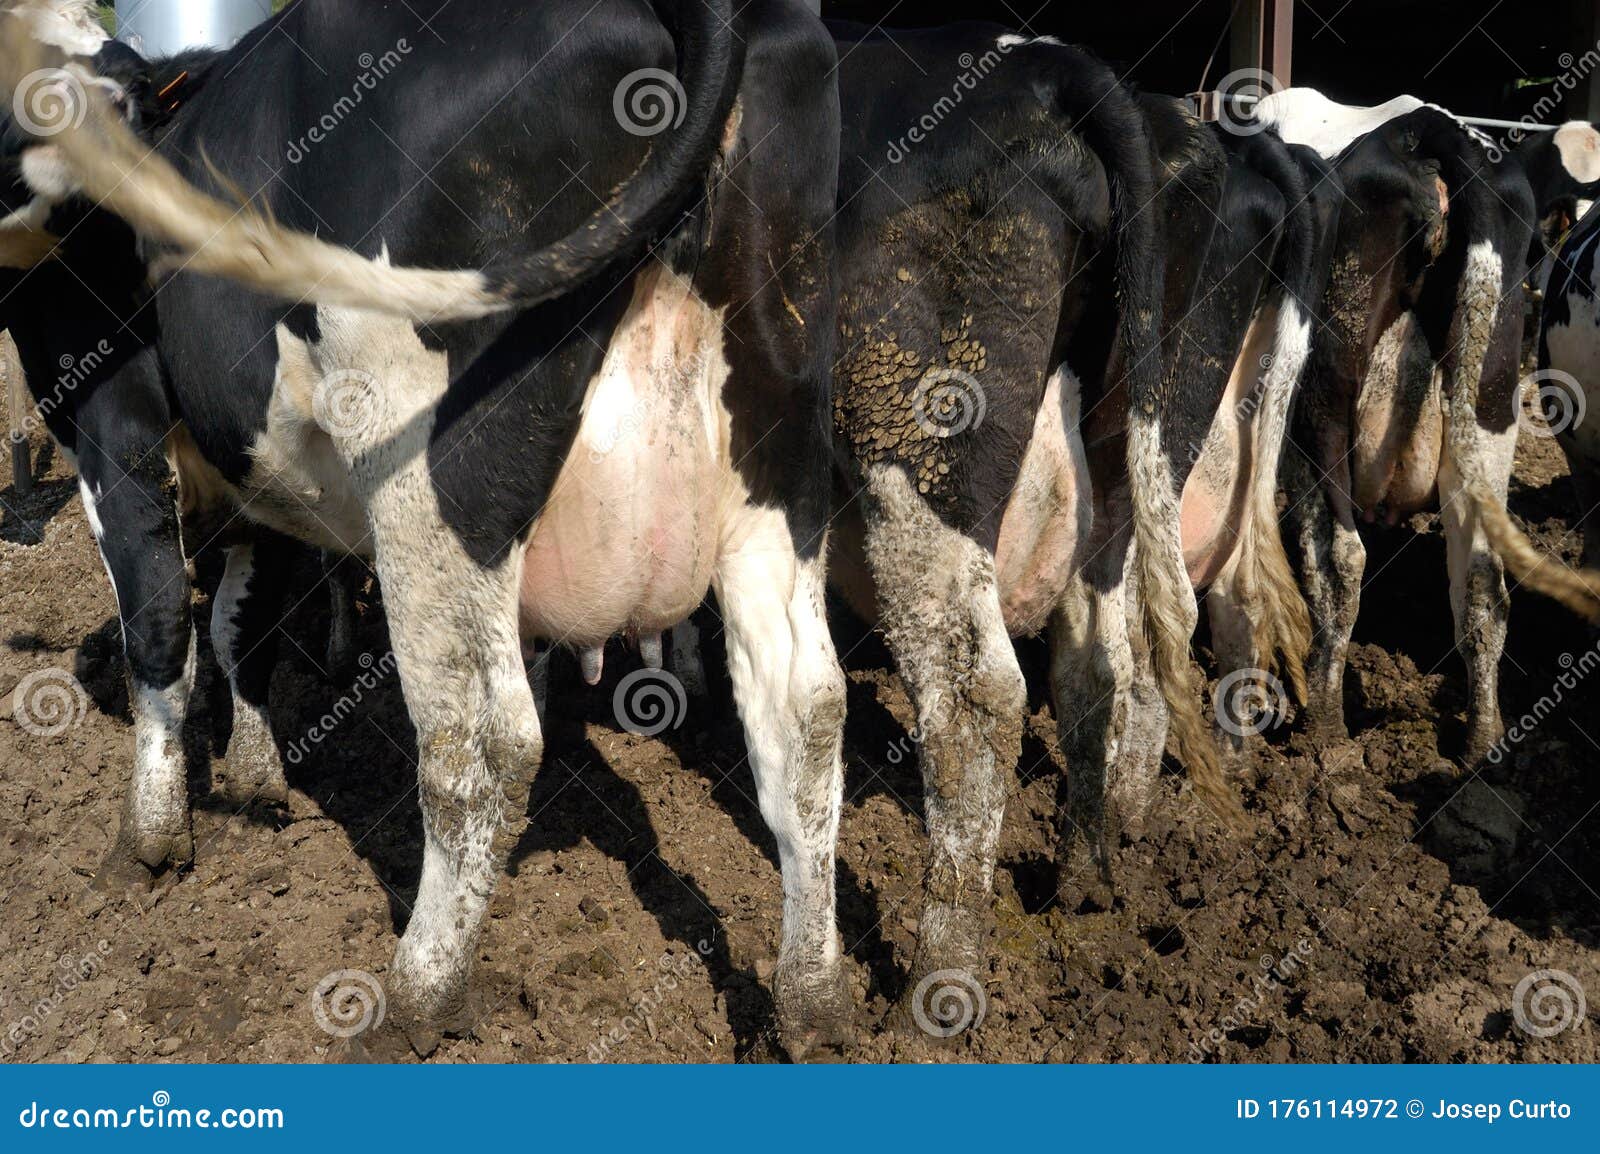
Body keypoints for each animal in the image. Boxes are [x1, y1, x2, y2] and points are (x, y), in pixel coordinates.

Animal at [0, 0, 854, 1058]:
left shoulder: (111, 426)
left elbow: (160, 629)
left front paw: (151, 840)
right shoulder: (257, 467)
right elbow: (245, 621)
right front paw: (254, 781)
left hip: (430, 472)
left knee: (485, 739)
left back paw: (418, 993)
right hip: (781, 450)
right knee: (806, 713)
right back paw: (812, 999)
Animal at [1257, 88, 1600, 764]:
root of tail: (1433, 131)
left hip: (1326, 391)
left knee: (1344, 556)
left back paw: (1325, 725)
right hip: (1490, 401)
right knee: (1483, 581)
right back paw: (1482, 742)